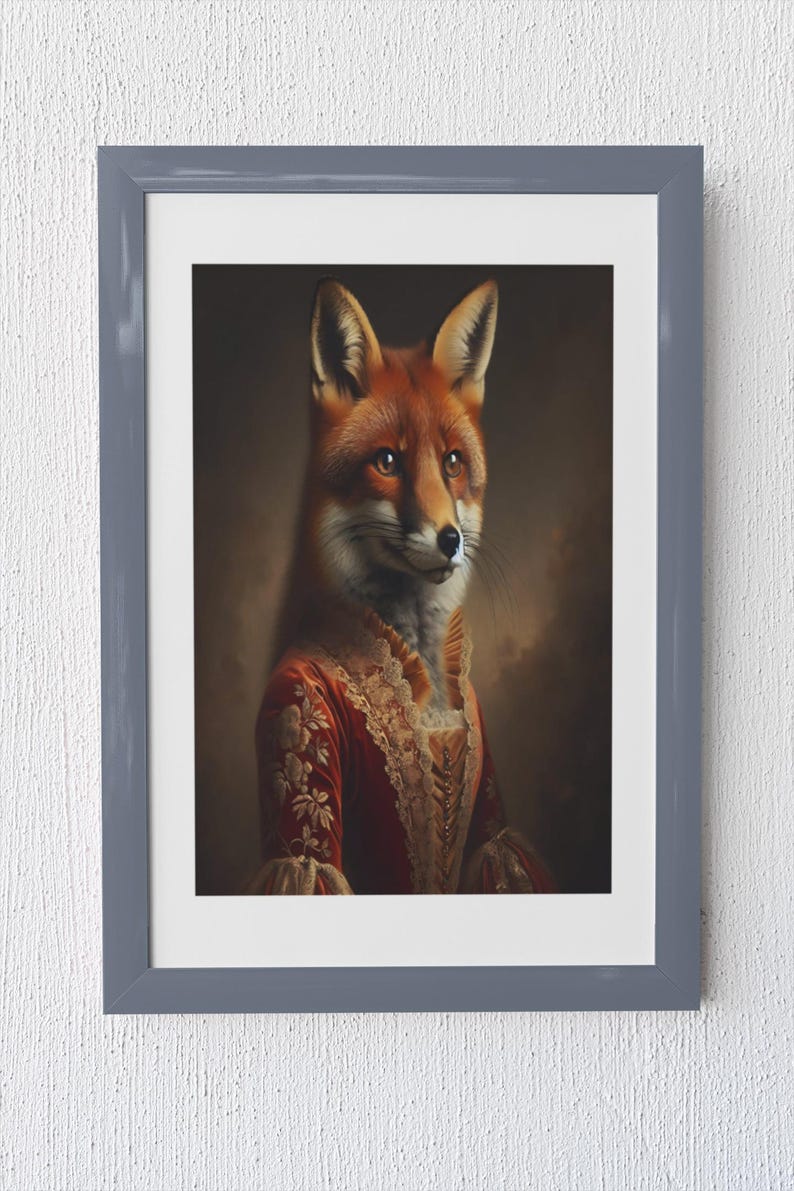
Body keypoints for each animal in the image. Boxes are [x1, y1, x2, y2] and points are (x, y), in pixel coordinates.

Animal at [251, 277, 554, 895]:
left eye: (453, 463)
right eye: (387, 461)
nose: (450, 539)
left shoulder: (488, 804)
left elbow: (495, 842)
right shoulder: (293, 725)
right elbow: (310, 859)